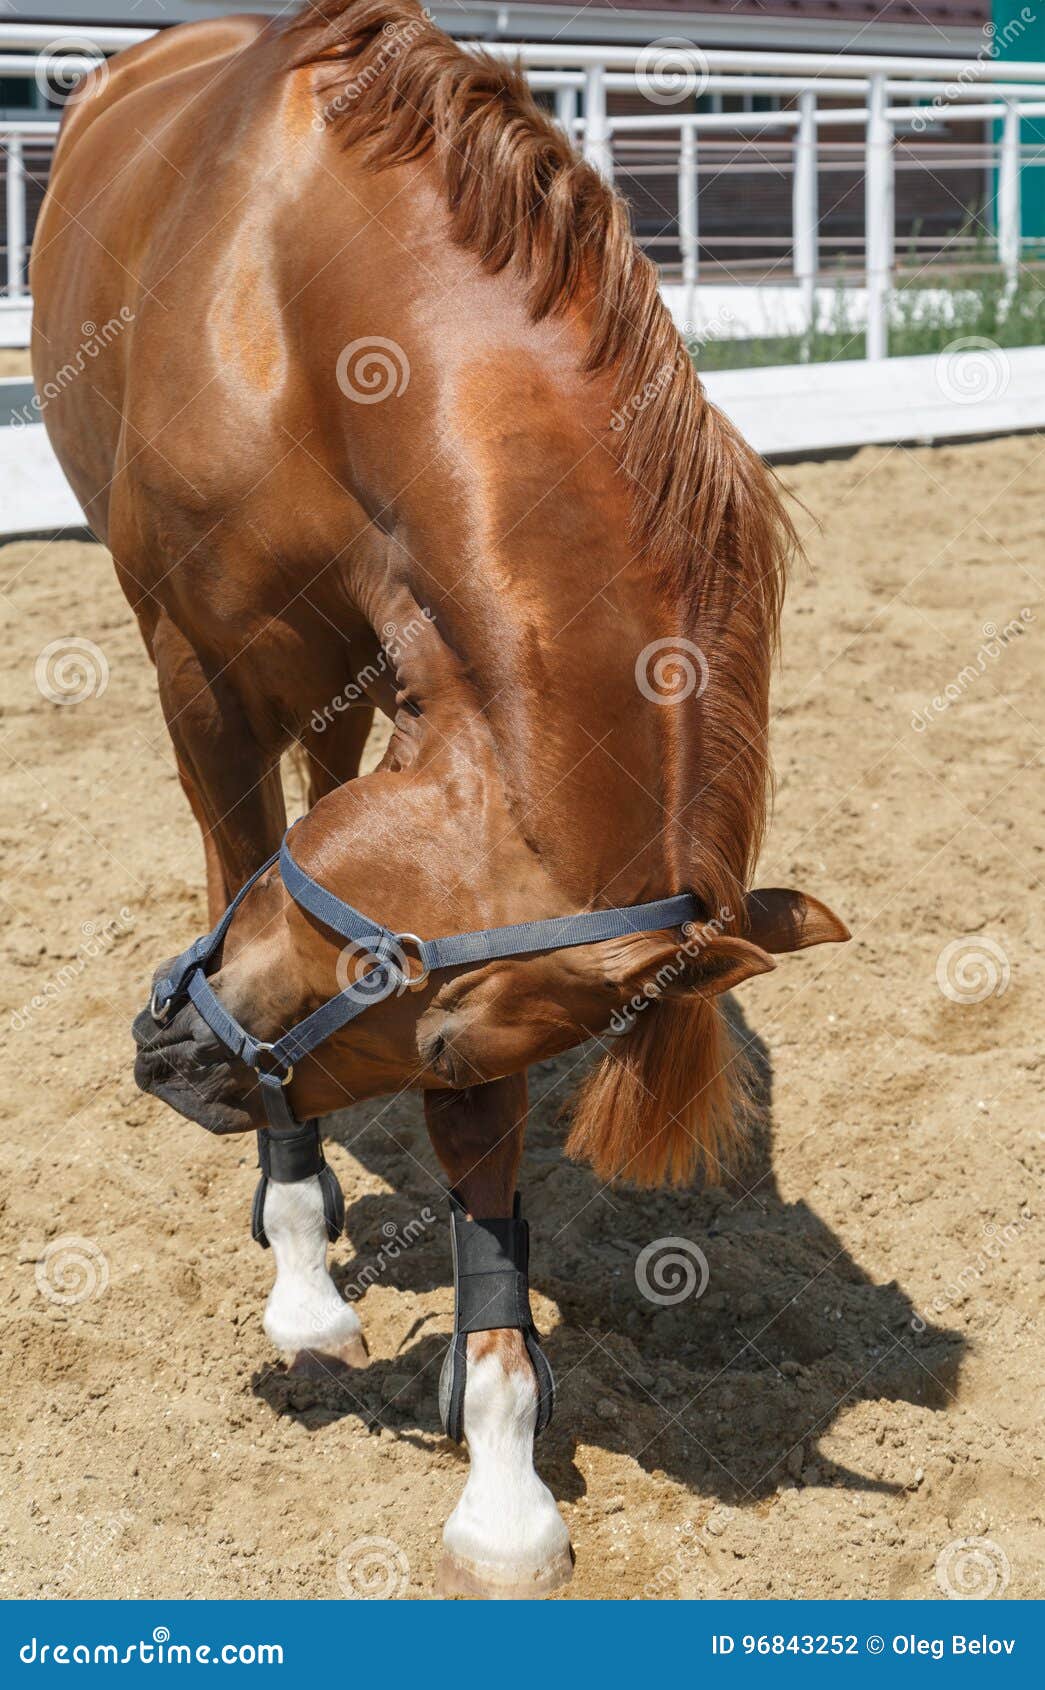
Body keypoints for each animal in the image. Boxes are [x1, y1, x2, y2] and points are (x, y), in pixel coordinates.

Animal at [31, 0, 848, 1597]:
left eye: (449, 1038)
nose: (170, 1055)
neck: (305, 307)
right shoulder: (204, 685)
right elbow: (240, 857)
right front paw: (304, 1279)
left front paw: (501, 1458)